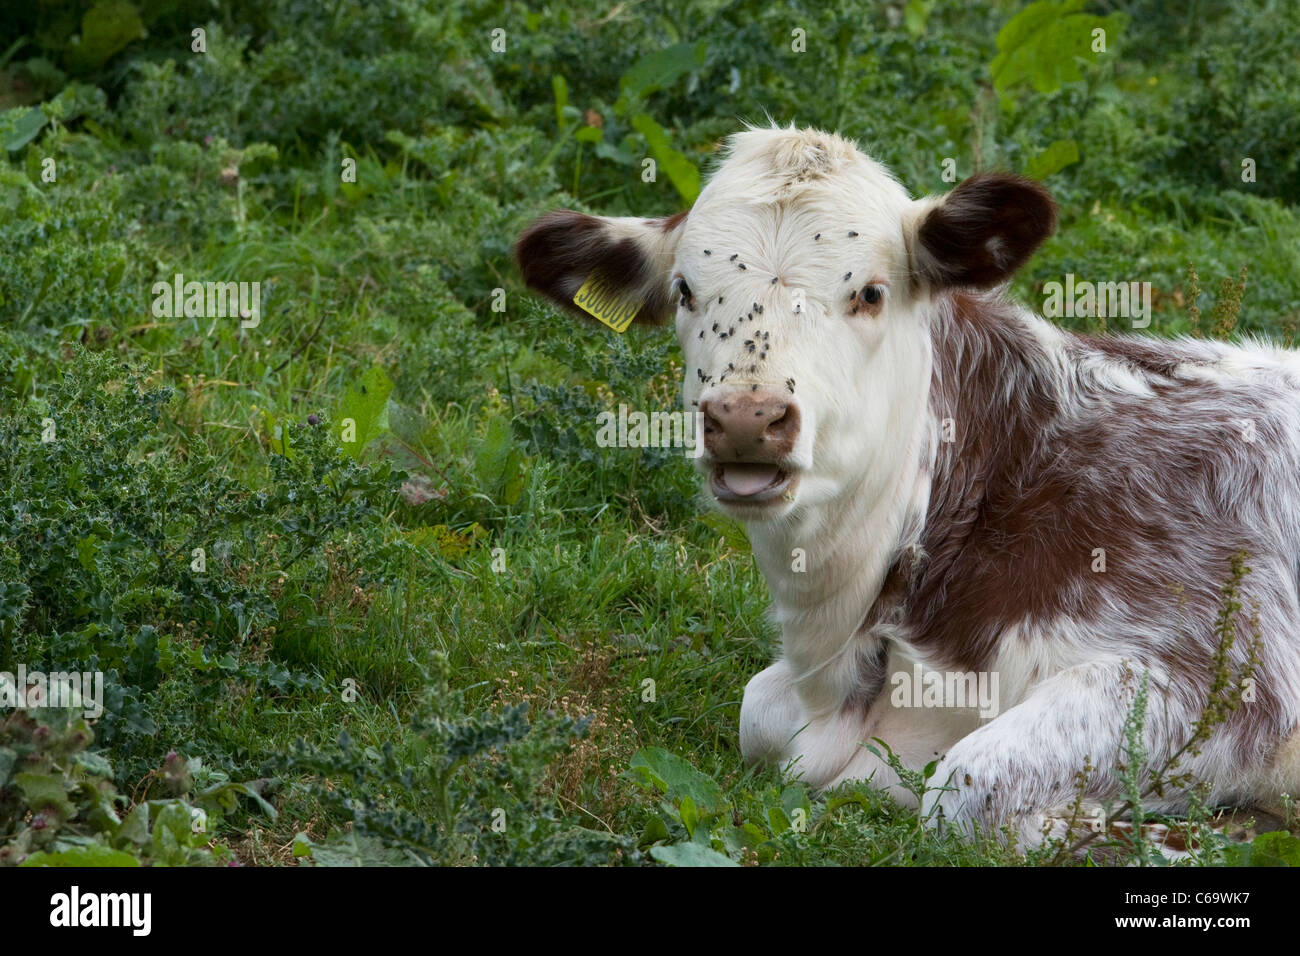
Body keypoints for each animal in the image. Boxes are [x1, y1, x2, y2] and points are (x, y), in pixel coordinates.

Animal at [515, 124, 1300, 848]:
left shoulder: (1222, 671)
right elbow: (757, 712)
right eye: (685, 290)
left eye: (869, 292)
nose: (746, 418)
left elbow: (965, 785)